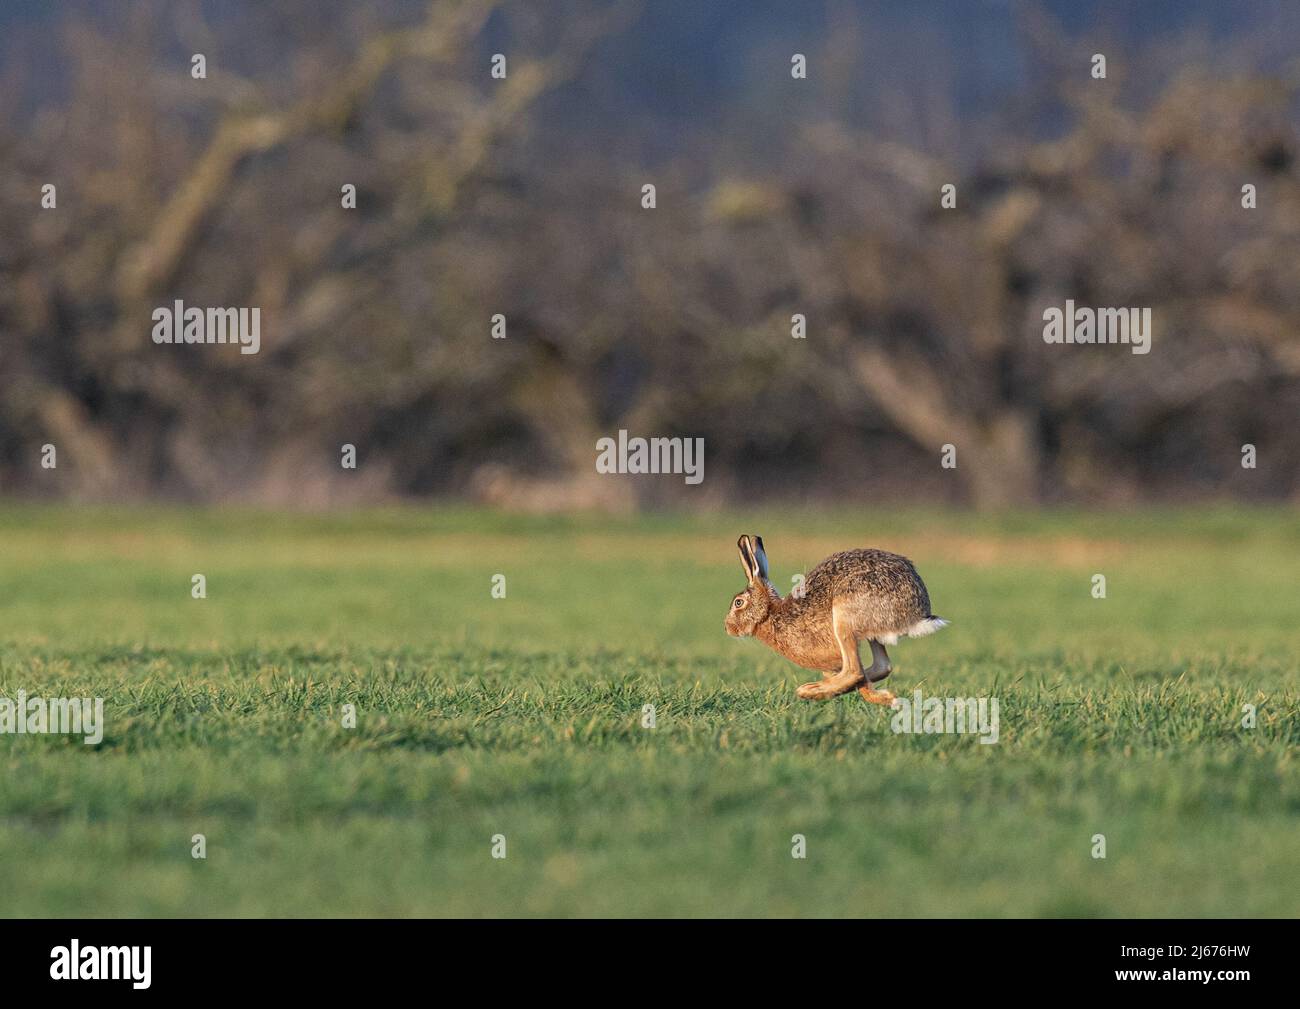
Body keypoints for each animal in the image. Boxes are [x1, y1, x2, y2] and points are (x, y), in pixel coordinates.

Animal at [724, 534, 947, 705]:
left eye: (738, 603)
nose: (727, 628)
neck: (769, 614)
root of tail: (918, 611)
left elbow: (854, 675)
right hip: (871, 633)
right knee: (881, 666)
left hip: (844, 618)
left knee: (855, 671)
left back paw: (809, 690)